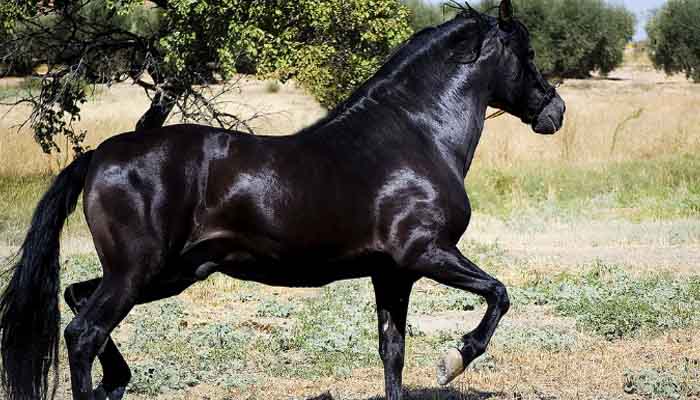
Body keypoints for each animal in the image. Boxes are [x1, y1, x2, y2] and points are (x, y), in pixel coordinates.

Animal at [0, 1, 565, 399]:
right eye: (528, 54)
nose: (554, 111)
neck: (416, 136)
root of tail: (99, 155)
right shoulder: (426, 253)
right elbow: (498, 294)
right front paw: (454, 359)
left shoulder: (392, 273)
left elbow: (393, 351)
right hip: (138, 272)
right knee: (83, 332)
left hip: (166, 273)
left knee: (77, 299)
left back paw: (116, 381)